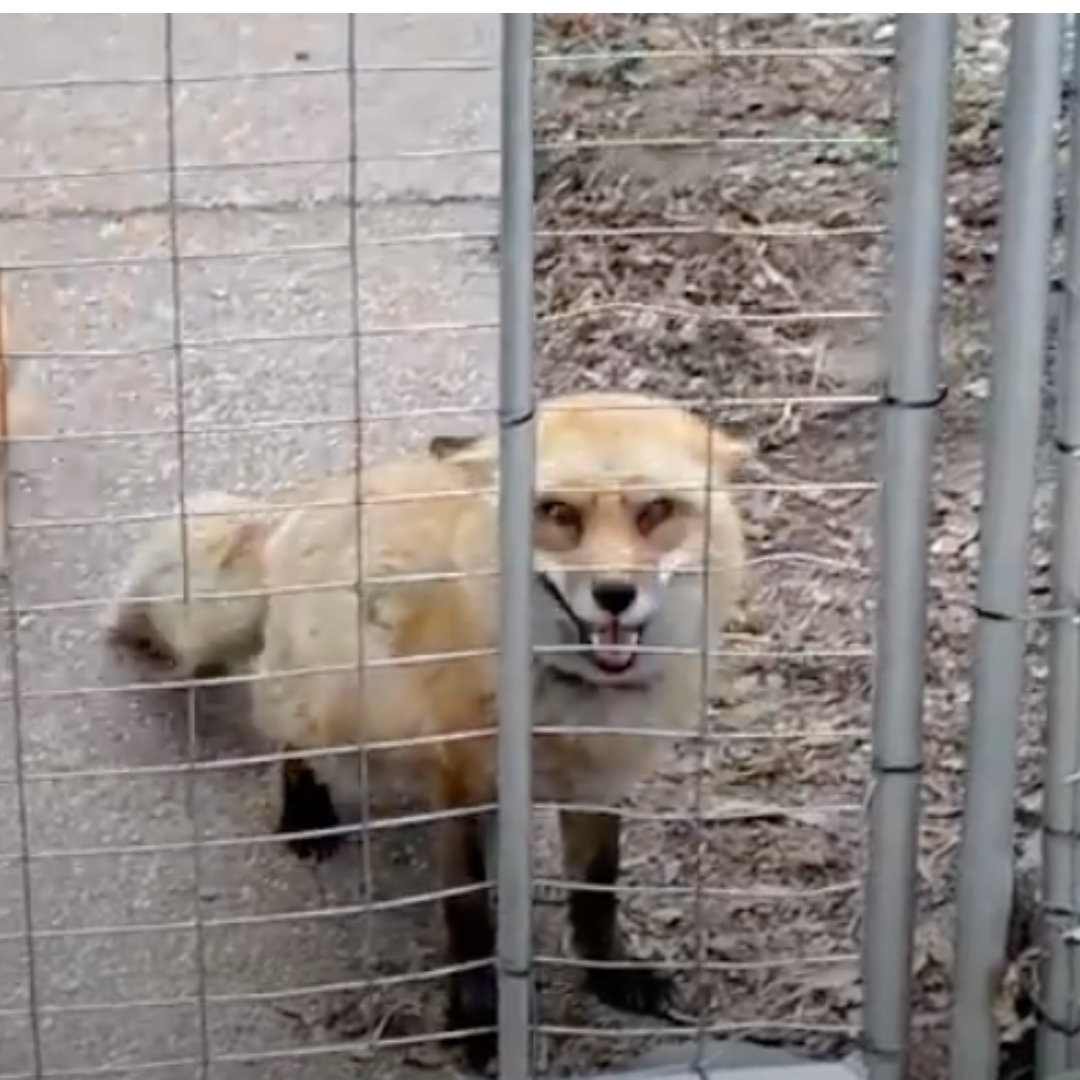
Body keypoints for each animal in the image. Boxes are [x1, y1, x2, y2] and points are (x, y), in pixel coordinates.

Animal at [247, 391, 749, 1071]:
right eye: (559, 513)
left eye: (657, 511)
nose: (615, 594)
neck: (568, 705)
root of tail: (310, 501)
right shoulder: (460, 783)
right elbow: (468, 917)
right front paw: (477, 1021)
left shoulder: (598, 783)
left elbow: (597, 889)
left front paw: (611, 975)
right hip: (334, 709)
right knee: (286, 736)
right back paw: (305, 810)